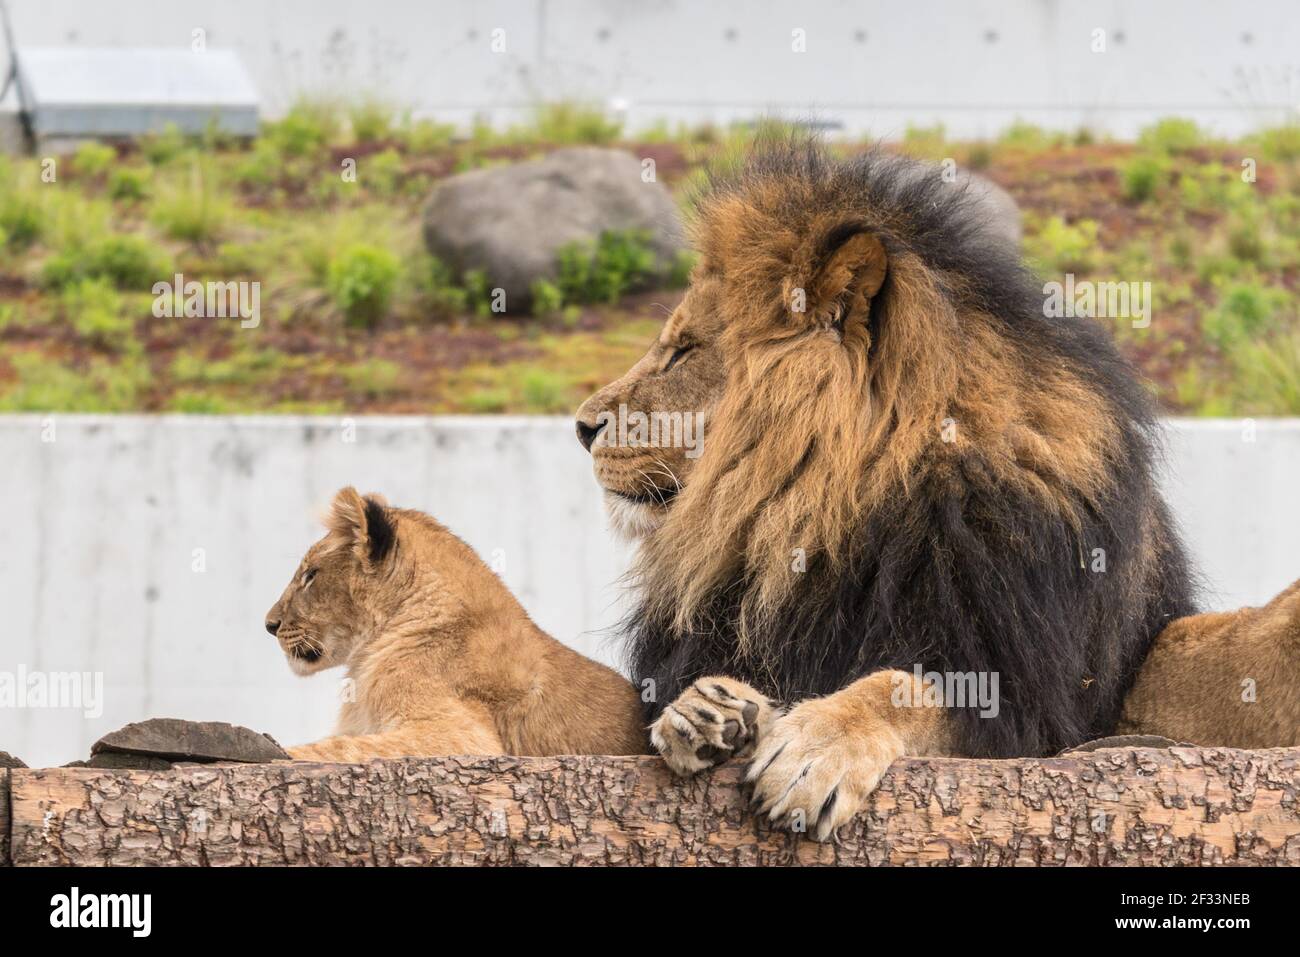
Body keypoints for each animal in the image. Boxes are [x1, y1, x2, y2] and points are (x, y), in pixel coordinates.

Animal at [572, 138, 1216, 841]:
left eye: (683, 350)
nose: (580, 427)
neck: (833, 510)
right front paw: (703, 711)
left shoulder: (1027, 708)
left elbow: (904, 686)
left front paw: (817, 747)